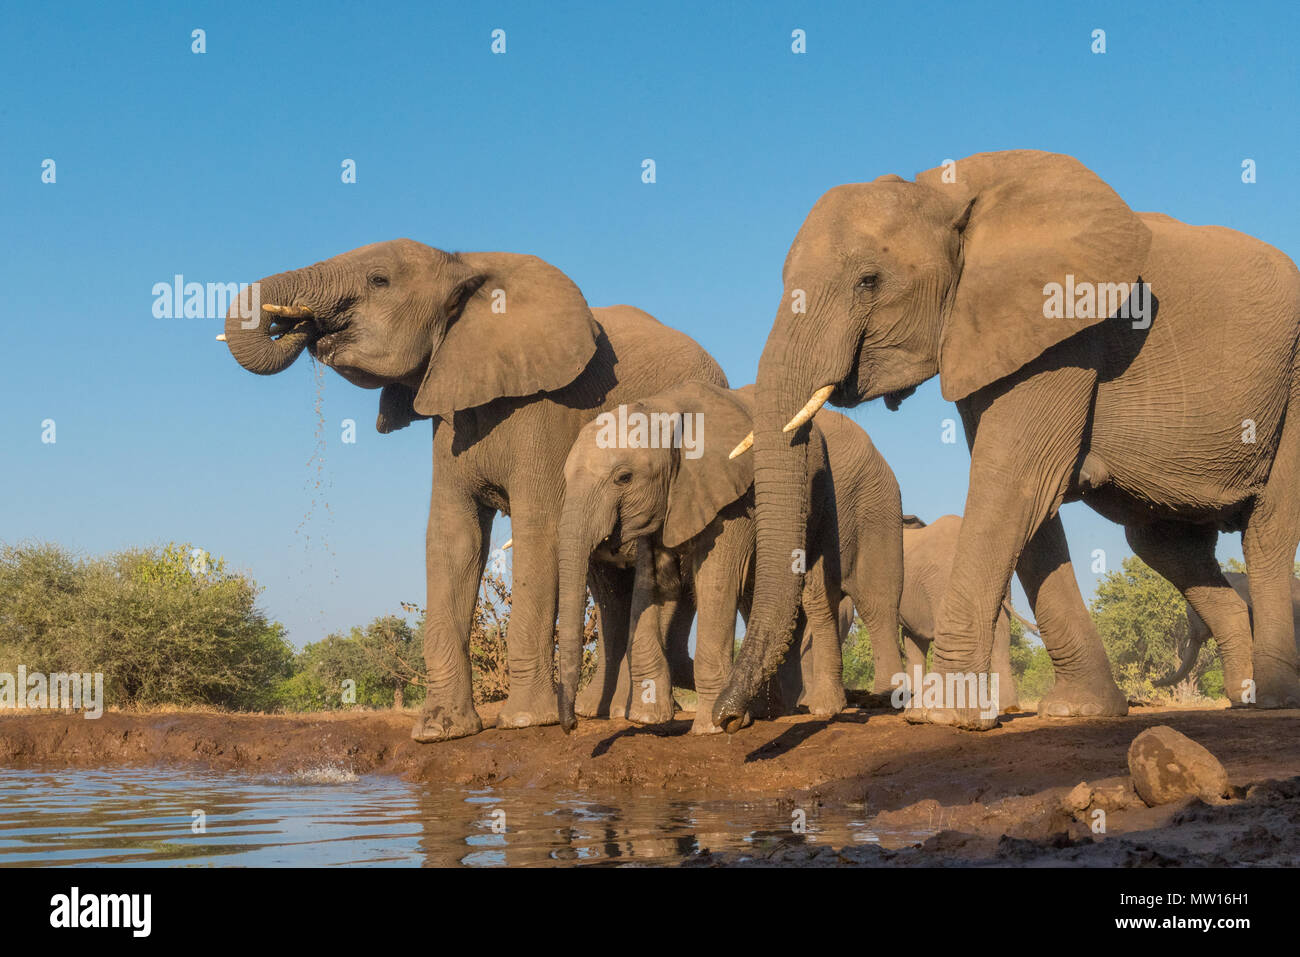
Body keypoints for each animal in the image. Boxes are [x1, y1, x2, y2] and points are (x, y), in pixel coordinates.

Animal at [221, 239, 727, 741]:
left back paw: (629, 713)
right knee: (606, 581)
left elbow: (539, 533)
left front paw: (525, 721)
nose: (295, 326)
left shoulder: (549, 411)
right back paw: (599, 711)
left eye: (378, 280)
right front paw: (440, 730)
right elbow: (453, 538)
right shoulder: (449, 416)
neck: (464, 265)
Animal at [555, 380, 904, 733]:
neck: (664, 407)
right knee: (757, 597)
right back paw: (768, 710)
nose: (571, 725)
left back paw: (827, 707)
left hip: (838, 502)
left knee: (829, 597)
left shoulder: (731, 496)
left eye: (623, 477)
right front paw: (647, 718)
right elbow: (653, 584)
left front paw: (711, 727)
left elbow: (715, 580)